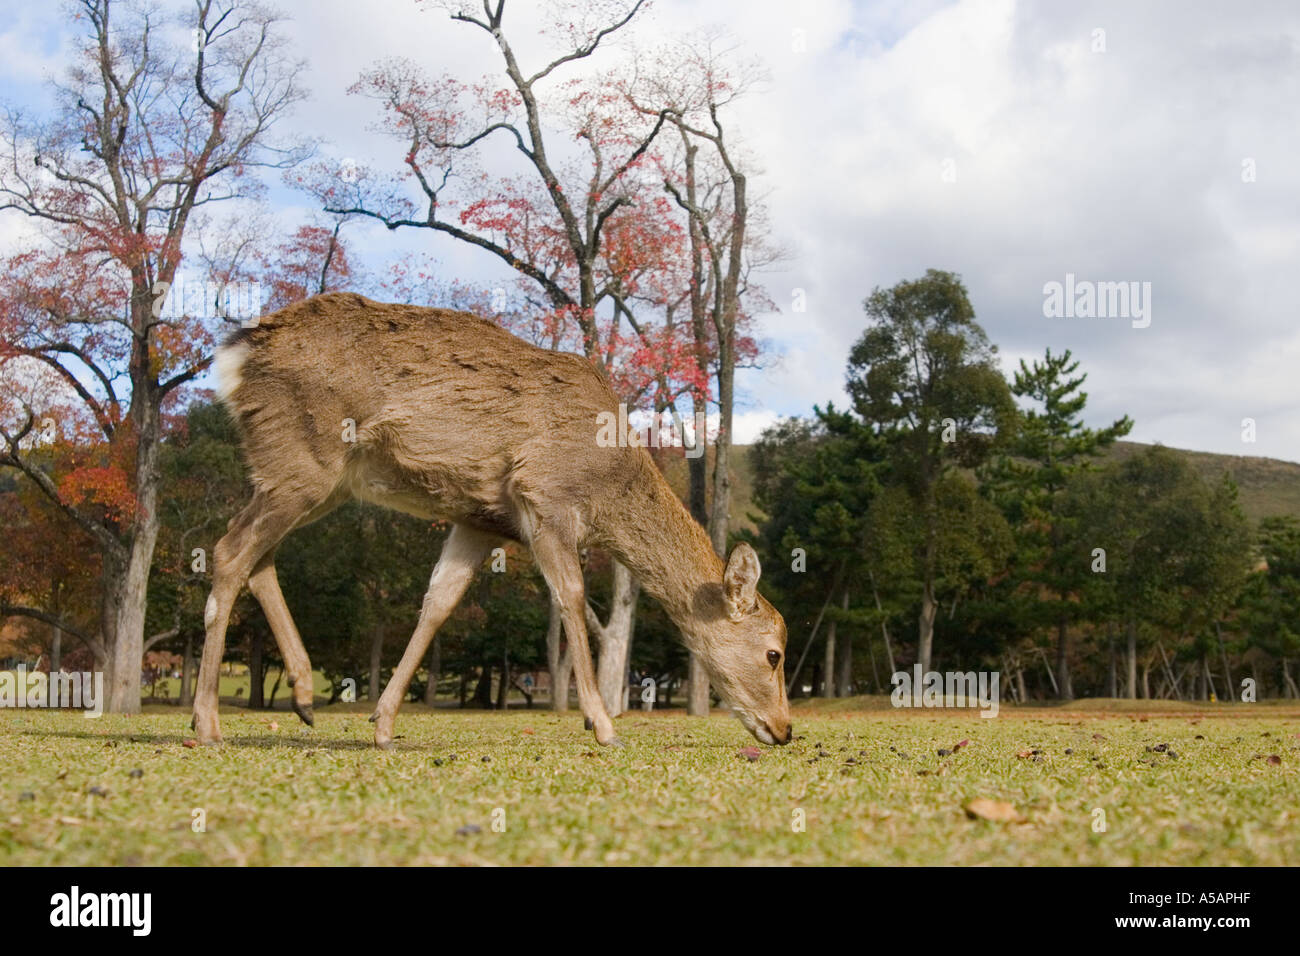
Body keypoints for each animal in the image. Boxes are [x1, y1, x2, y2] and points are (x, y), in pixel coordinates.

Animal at [192, 292, 793, 749]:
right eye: (774, 653)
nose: (785, 730)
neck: (608, 485)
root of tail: (236, 354)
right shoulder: (545, 497)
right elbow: (572, 596)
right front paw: (601, 724)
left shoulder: (478, 520)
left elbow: (438, 604)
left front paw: (383, 724)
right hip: (301, 458)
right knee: (228, 550)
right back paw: (207, 722)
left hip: (314, 479)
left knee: (259, 556)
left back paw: (301, 695)